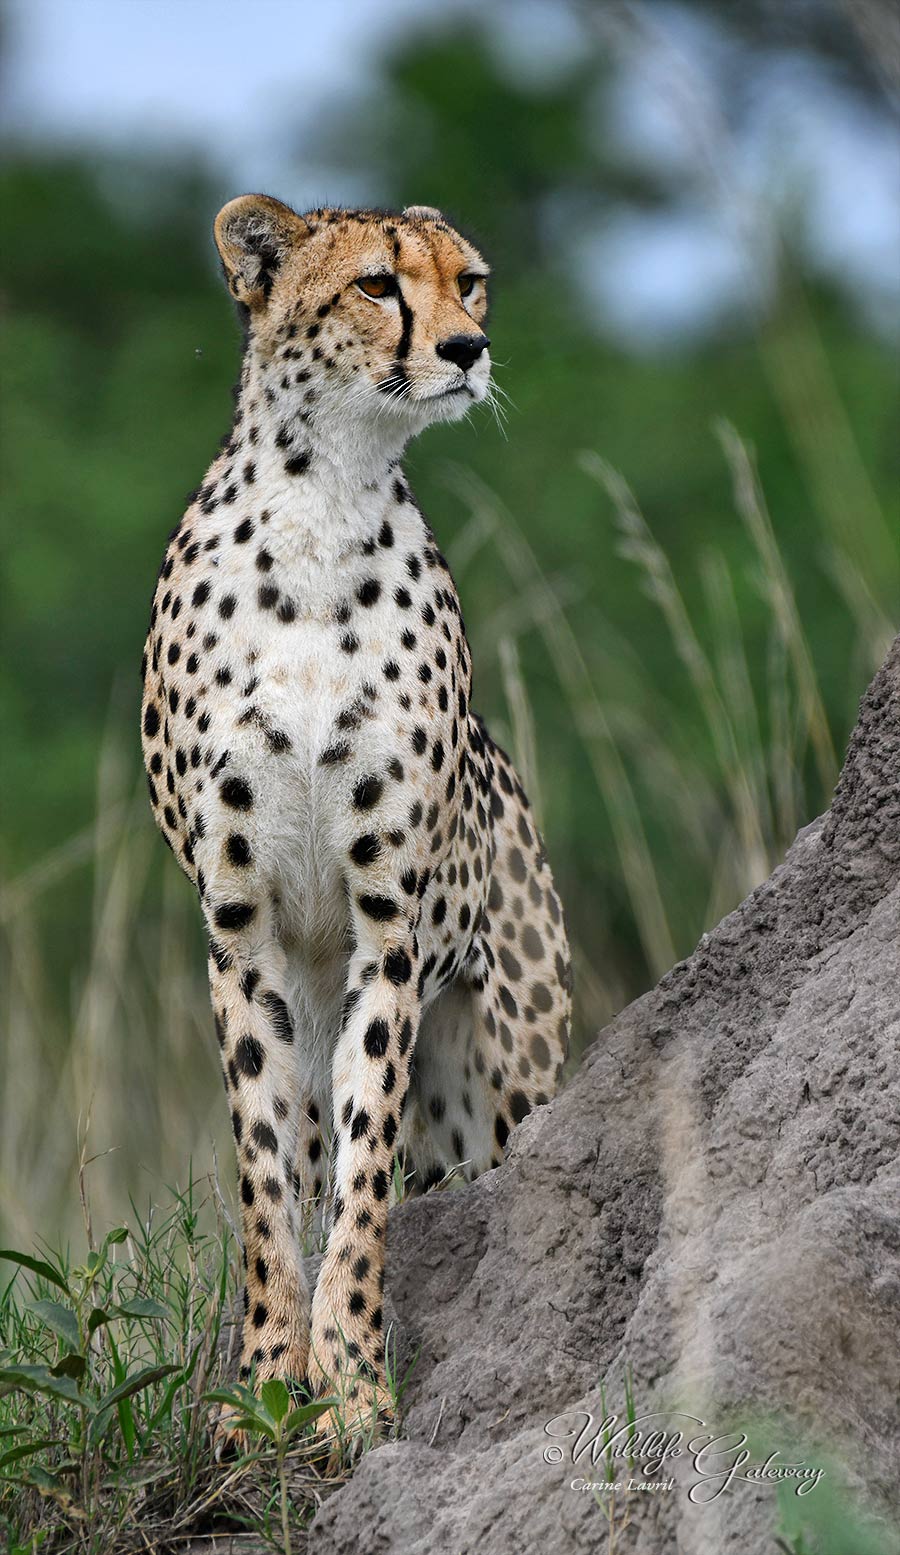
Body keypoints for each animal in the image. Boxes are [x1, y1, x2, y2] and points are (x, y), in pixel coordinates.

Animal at [140, 193, 572, 1452]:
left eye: (470, 281)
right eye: (379, 284)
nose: (468, 349)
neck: (325, 499)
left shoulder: (391, 931)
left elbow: (368, 1160)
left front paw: (355, 1381)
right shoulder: (241, 935)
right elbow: (267, 1172)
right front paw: (267, 1382)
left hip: (508, 1071)